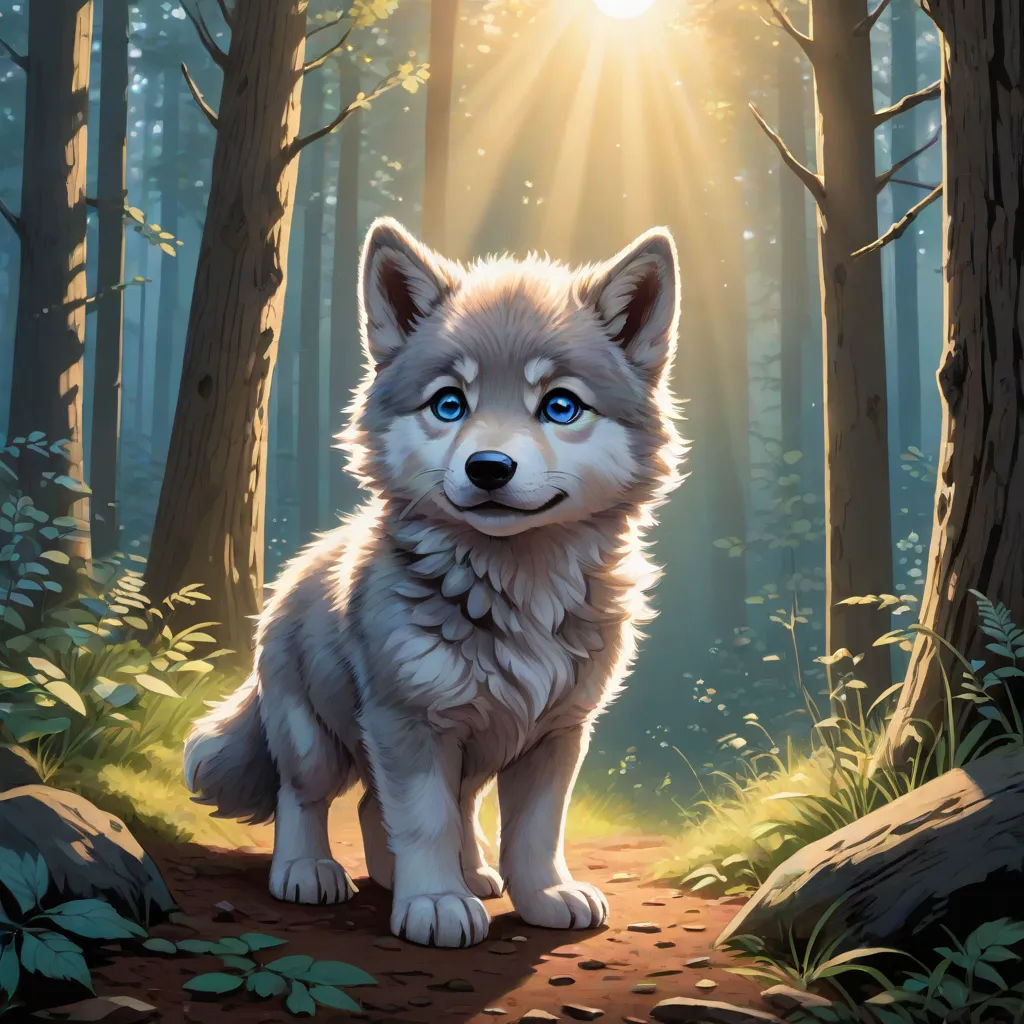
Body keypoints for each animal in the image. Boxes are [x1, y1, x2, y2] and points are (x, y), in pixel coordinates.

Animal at [184, 217, 684, 948]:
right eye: (449, 405)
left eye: (560, 406)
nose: (488, 467)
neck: (515, 590)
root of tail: (298, 564)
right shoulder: (407, 723)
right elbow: (422, 820)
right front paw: (436, 905)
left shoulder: (558, 733)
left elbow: (535, 832)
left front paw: (544, 896)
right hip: (313, 734)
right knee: (304, 796)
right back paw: (309, 872)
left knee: (399, 806)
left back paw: (463, 875)